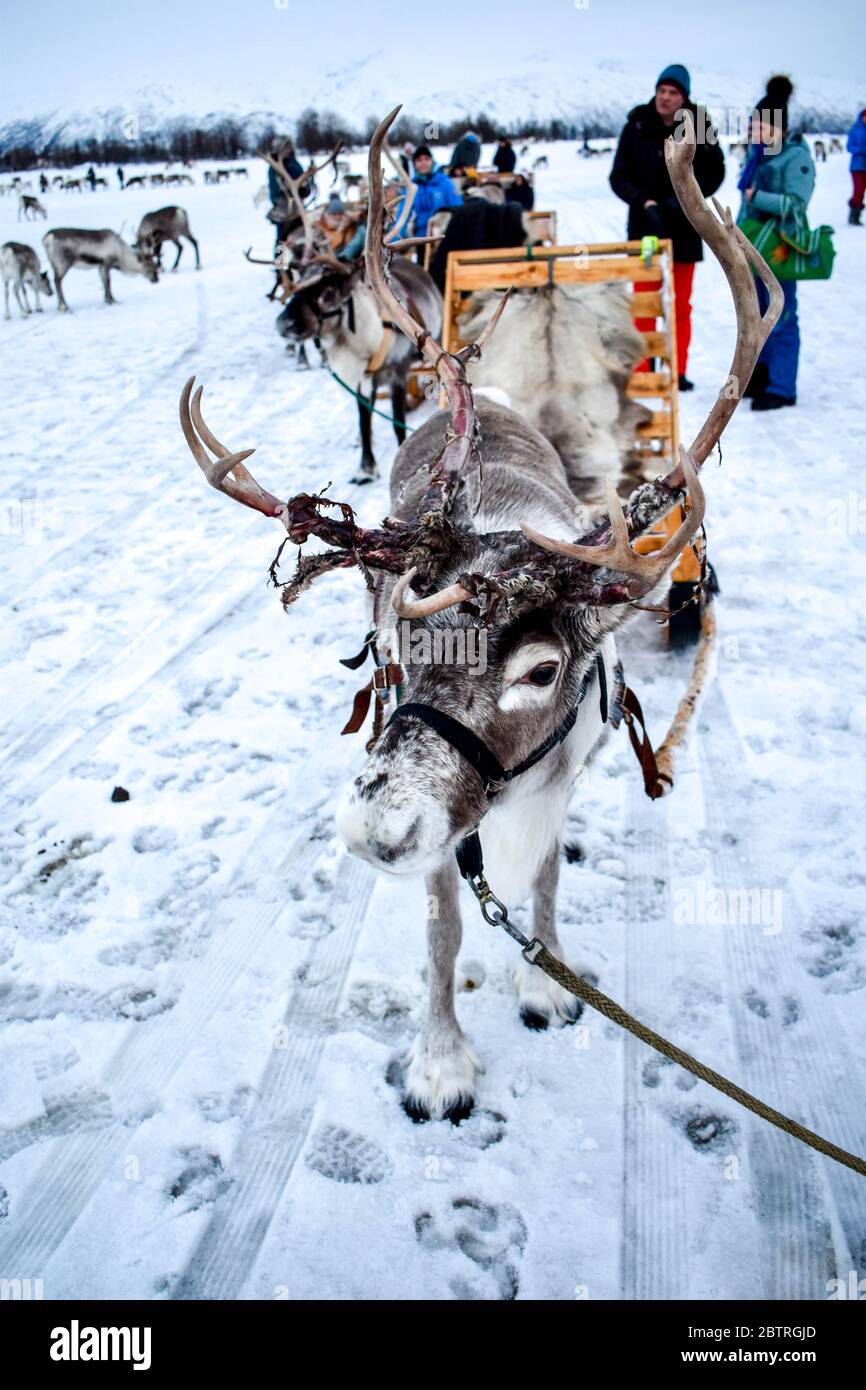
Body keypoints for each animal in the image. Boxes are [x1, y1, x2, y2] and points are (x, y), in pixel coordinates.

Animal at [178, 108, 783, 1122]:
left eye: (542, 669)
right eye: (398, 639)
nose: (374, 833)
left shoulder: (565, 776)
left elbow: (543, 882)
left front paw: (543, 984)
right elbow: (443, 932)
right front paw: (440, 1063)